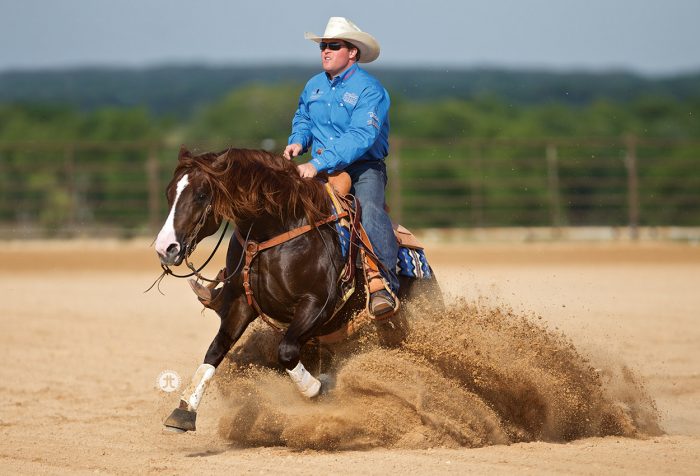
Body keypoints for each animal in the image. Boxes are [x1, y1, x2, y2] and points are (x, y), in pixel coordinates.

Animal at [154, 146, 440, 433]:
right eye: (168, 193)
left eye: (201, 194)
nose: (165, 248)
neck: (275, 232)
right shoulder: (240, 304)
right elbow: (215, 350)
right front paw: (183, 411)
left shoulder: (318, 304)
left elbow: (287, 350)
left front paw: (317, 387)